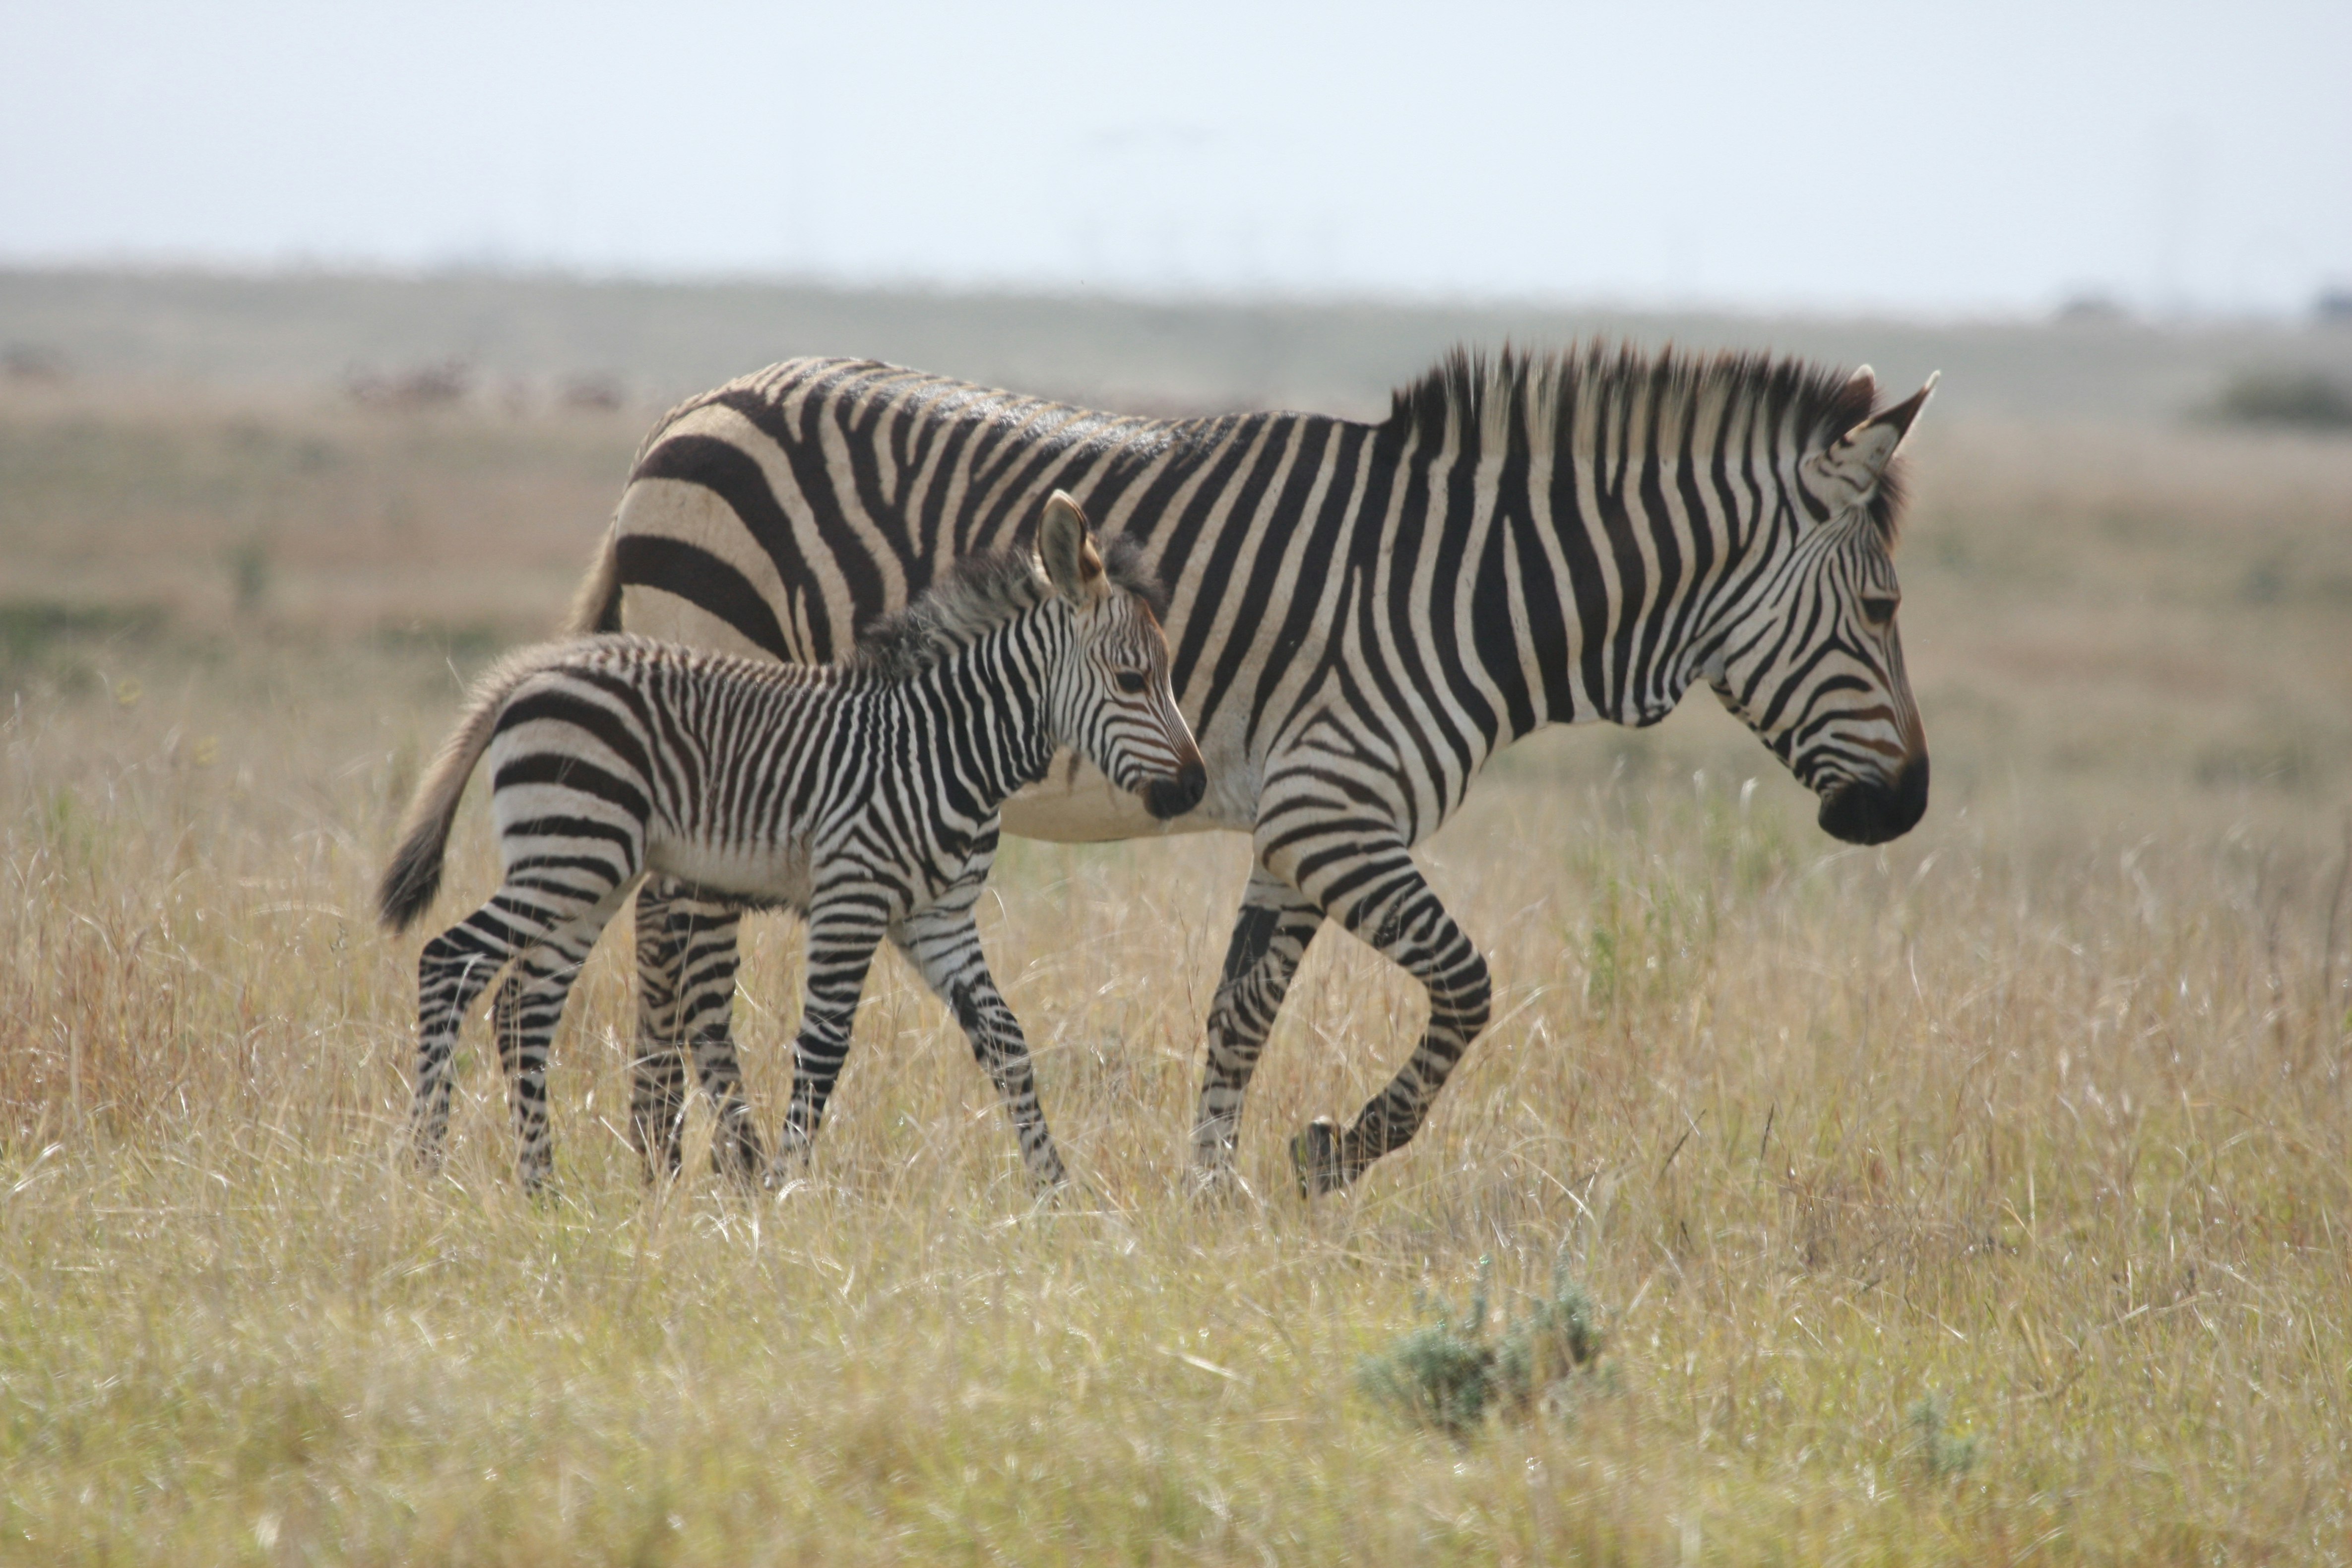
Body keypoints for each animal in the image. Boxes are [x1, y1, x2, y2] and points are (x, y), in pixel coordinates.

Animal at [377, 492, 1203, 1191]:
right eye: (1132, 680)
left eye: (1162, 676)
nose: (1194, 788)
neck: (946, 749)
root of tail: (531, 675)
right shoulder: (851, 898)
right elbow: (824, 1047)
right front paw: (783, 1189)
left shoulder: (938, 917)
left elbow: (1006, 1042)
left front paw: (1056, 1190)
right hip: (570, 855)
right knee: (450, 963)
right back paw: (426, 1166)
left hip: (587, 873)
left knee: (523, 1007)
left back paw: (542, 1188)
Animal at [565, 344, 1935, 1195]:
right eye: (1880, 606)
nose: (1909, 805)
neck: (1470, 592)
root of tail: (689, 411)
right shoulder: (1339, 810)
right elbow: (1469, 983)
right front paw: (1339, 1149)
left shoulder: (1302, 822)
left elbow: (1240, 1012)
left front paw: (1212, 1192)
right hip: (727, 690)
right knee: (682, 951)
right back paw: (703, 1166)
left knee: (674, 939)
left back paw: (674, 1161)